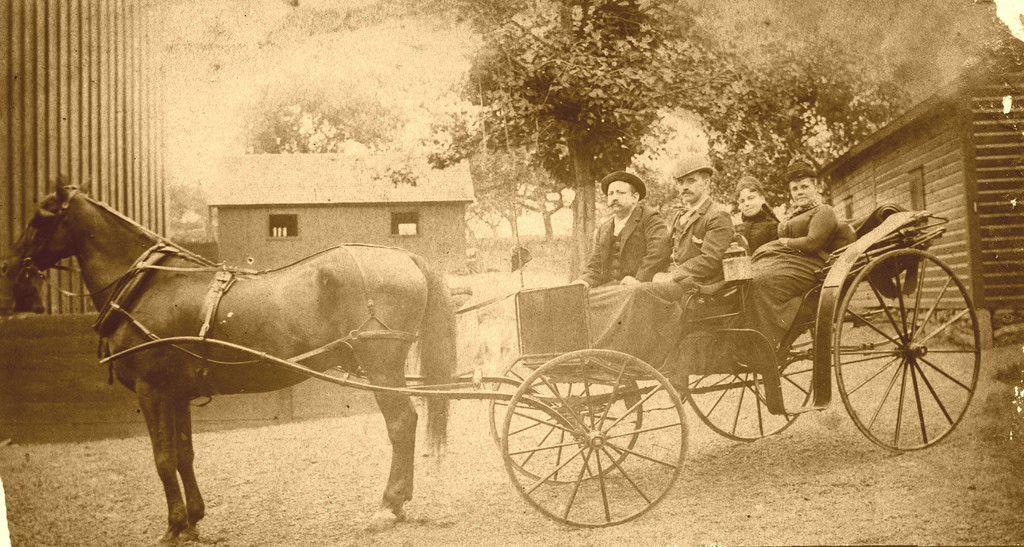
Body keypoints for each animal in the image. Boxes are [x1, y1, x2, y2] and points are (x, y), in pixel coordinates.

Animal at [4, 184, 458, 544]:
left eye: (38, 220)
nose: (9, 267)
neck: (151, 285)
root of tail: (406, 257)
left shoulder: (153, 392)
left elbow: (162, 459)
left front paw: (173, 525)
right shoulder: (177, 394)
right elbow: (183, 455)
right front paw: (193, 520)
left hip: (381, 366)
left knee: (401, 424)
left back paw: (389, 505)